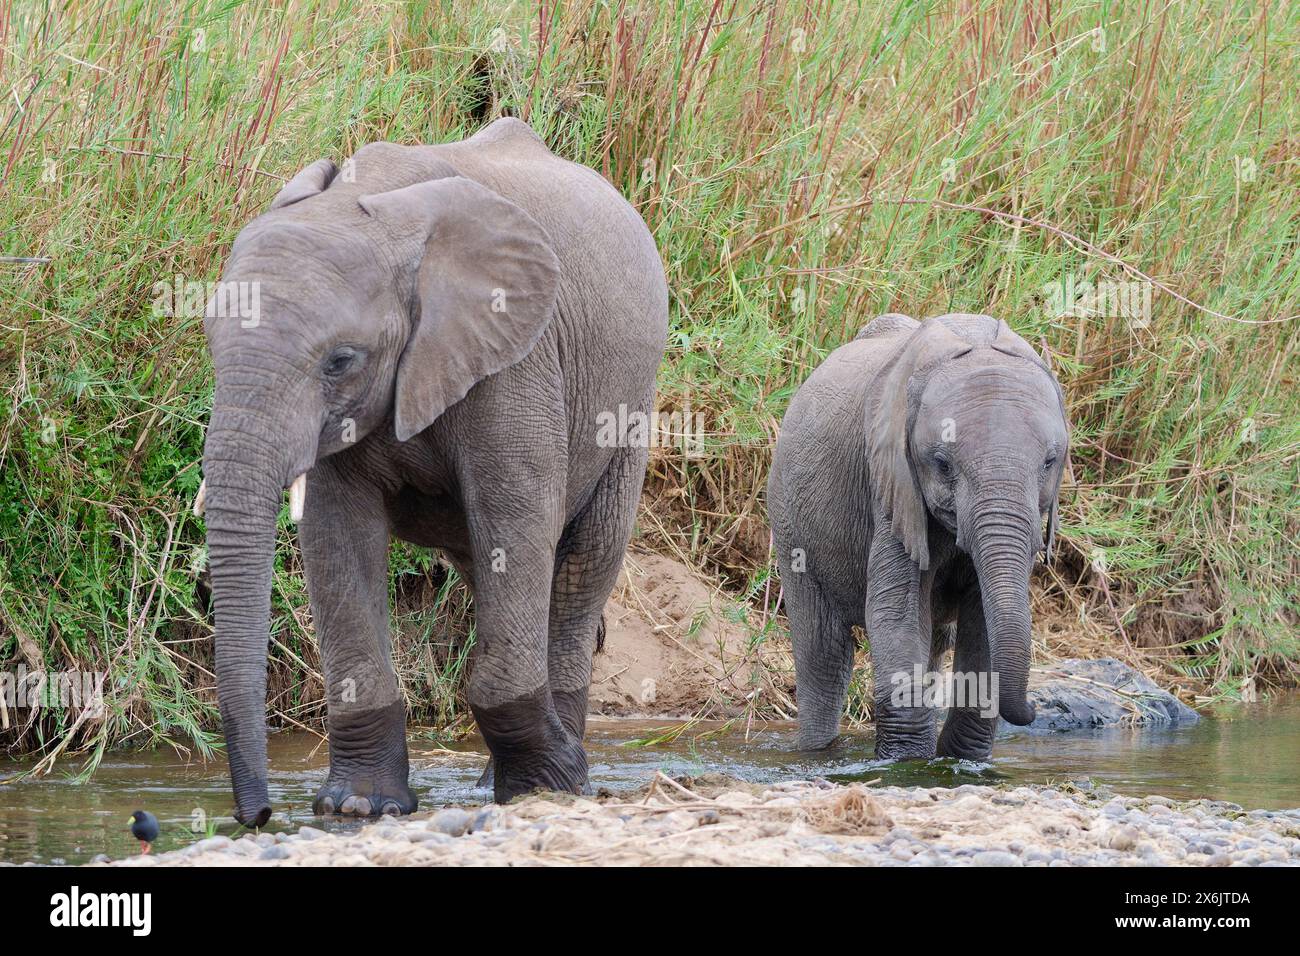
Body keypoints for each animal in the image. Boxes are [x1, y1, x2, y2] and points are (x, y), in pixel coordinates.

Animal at [195, 117, 668, 826]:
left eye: (341, 360)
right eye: (209, 342)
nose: (255, 817)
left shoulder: (514, 358)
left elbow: (518, 517)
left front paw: (548, 782)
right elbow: (335, 537)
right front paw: (358, 805)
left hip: (630, 405)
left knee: (582, 562)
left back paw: (555, 774)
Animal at [767, 313, 1068, 761]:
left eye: (1050, 461)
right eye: (941, 464)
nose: (1033, 709)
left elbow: (981, 618)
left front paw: (960, 760)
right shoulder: (891, 487)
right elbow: (895, 611)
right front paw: (907, 762)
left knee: (934, 642)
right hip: (788, 516)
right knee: (824, 651)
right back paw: (818, 751)